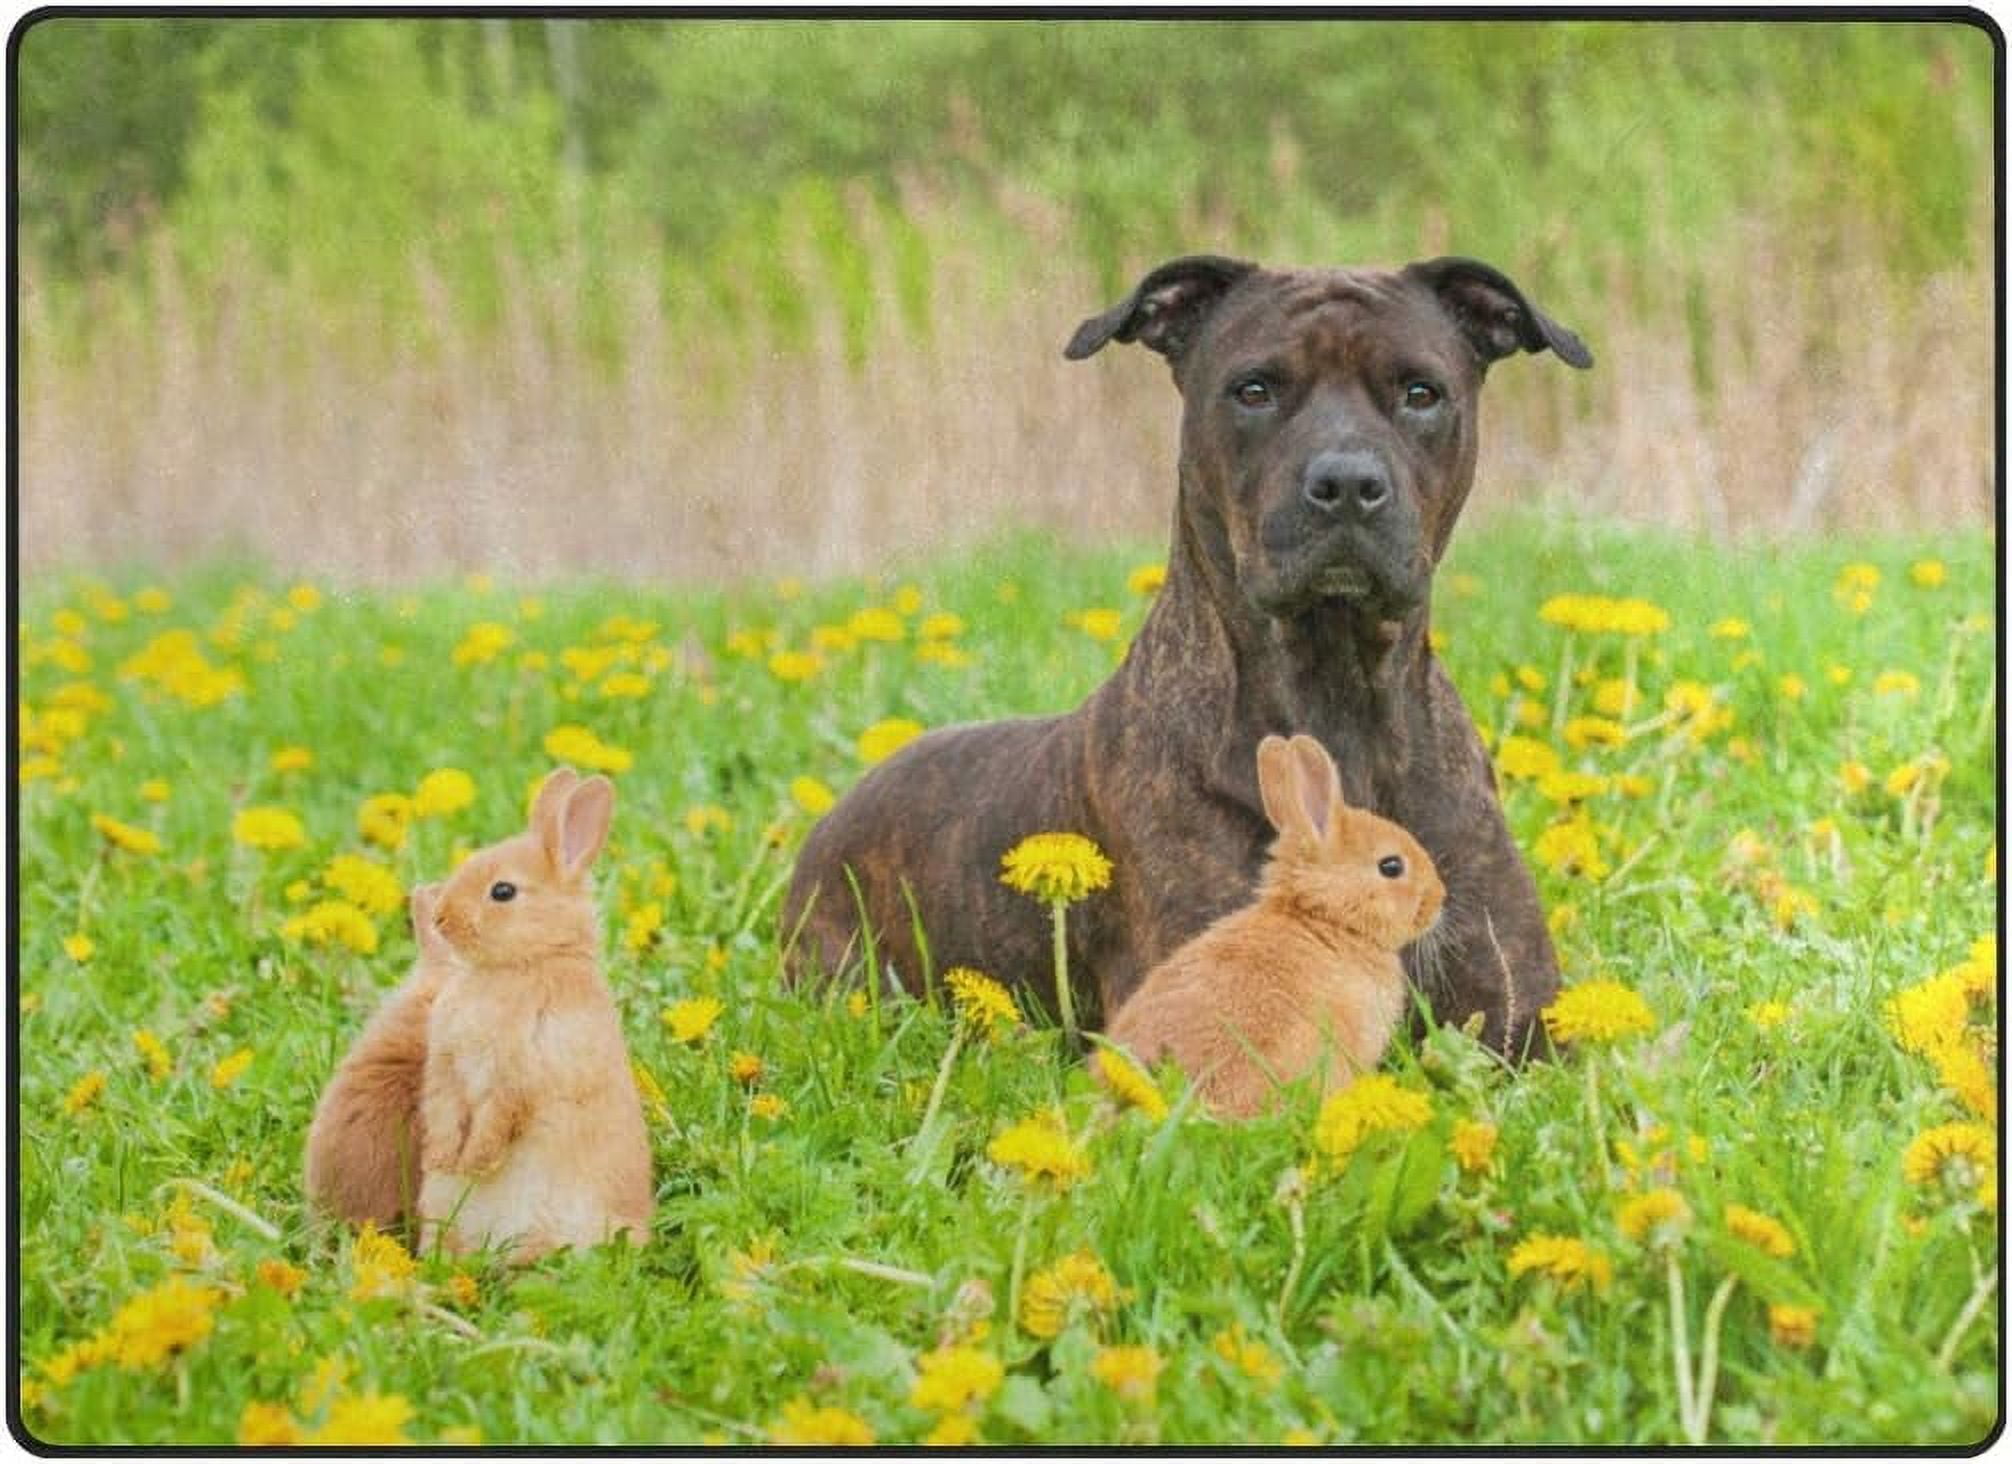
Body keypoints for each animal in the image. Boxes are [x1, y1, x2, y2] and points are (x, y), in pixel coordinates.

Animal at [416, 766, 653, 1262]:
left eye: (503, 891)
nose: (442, 919)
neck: (528, 961)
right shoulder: (446, 1064)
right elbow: (444, 1105)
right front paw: (443, 1156)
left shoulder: (519, 1069)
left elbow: (497, 1116)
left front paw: (476, 1162)